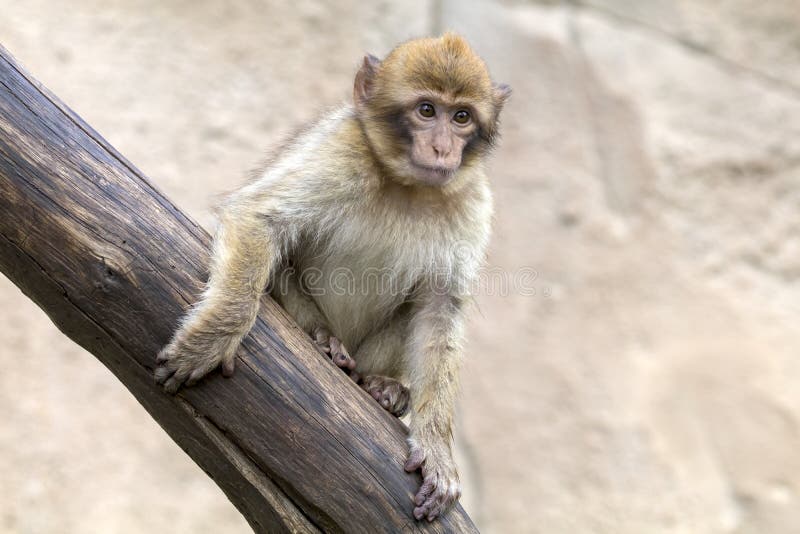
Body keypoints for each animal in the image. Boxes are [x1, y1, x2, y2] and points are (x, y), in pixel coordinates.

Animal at [155, 33, 510, 522]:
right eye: (426, 110)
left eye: (461, 117)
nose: (443, 149)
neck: (407, 186)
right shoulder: (340, 149)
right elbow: (258, 219)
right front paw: (214, 337)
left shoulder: (473, 199)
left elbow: (440, 309)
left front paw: (436, 446)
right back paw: (321, 337)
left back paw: (384, 388)